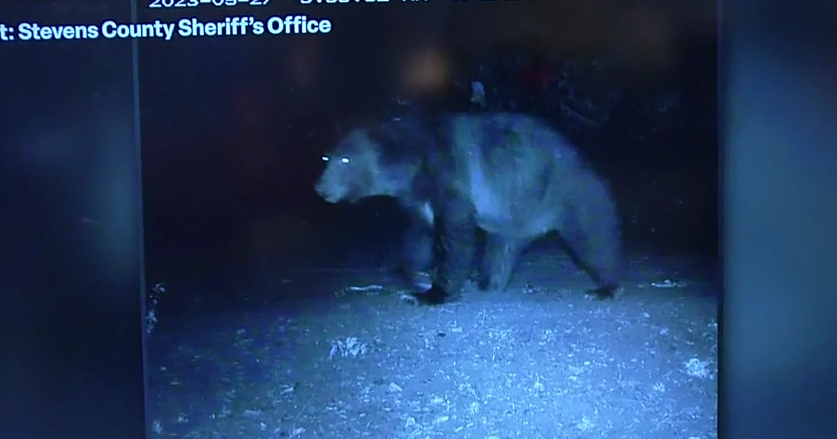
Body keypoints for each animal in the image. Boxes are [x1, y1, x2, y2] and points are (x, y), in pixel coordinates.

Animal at [315, 112, 621, 305]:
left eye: (344, 160)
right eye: (326, 157)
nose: (319, 187)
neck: (413, 168)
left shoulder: (449, 175)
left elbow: (455, 232)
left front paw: (433, 292)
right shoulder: (417, 197)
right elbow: (419, 235)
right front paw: (418, 275)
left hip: (570, 193)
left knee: (593, 237)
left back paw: (604, 286)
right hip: (516, 214)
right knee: (502, 249)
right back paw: (489, 283)